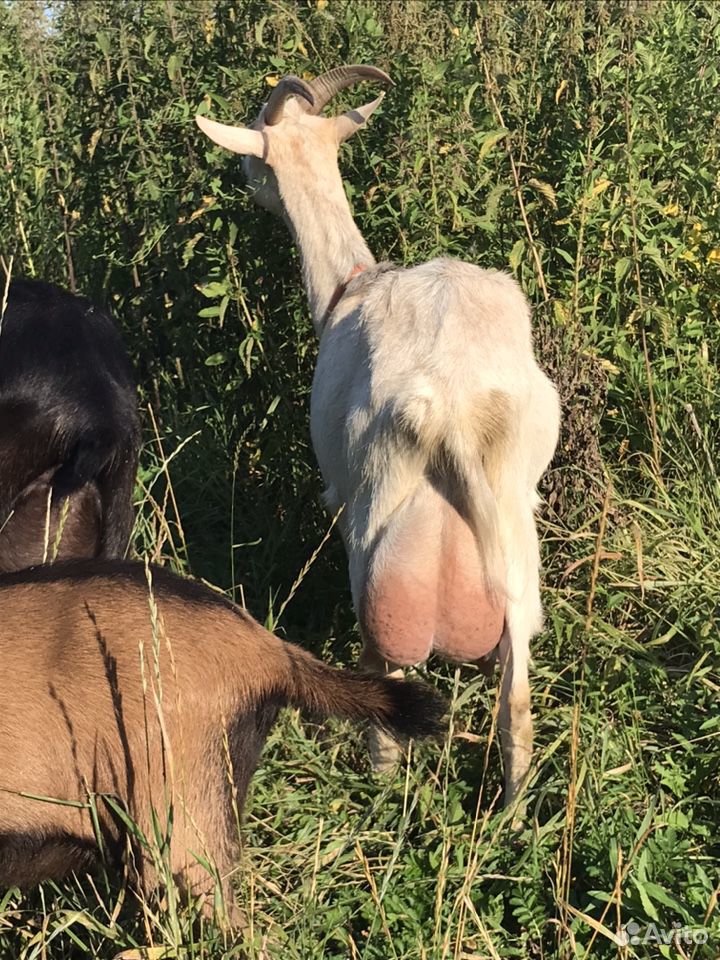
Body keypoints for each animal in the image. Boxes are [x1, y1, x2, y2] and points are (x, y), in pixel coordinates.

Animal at [195, 65, 560, 809]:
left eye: (256, 160)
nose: (248, 181)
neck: (351, 283)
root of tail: (451, 407)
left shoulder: (337, 489)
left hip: (374, 521)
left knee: (383, 663)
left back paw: (382, 774)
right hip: (516, 532)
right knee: (516, 700)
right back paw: (511, 813)